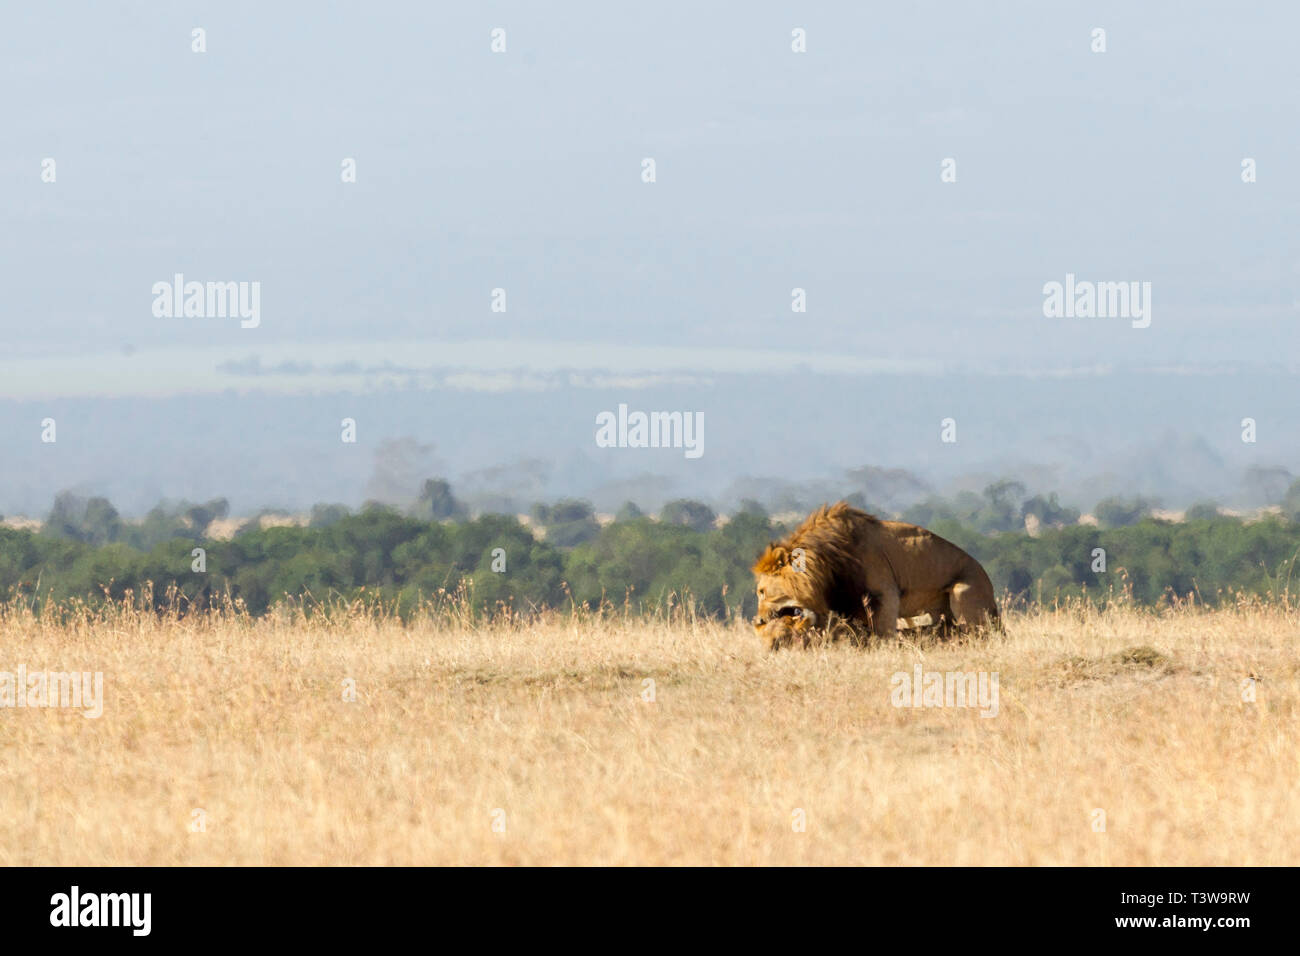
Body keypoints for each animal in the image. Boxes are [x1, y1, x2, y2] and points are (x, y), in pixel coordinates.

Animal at [752, 502, 1000, 647]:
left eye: (762, 592)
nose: (759, 621)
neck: (825, 568)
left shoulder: (883, 594)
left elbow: (881, 634)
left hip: (963, 592)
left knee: (978, 632)